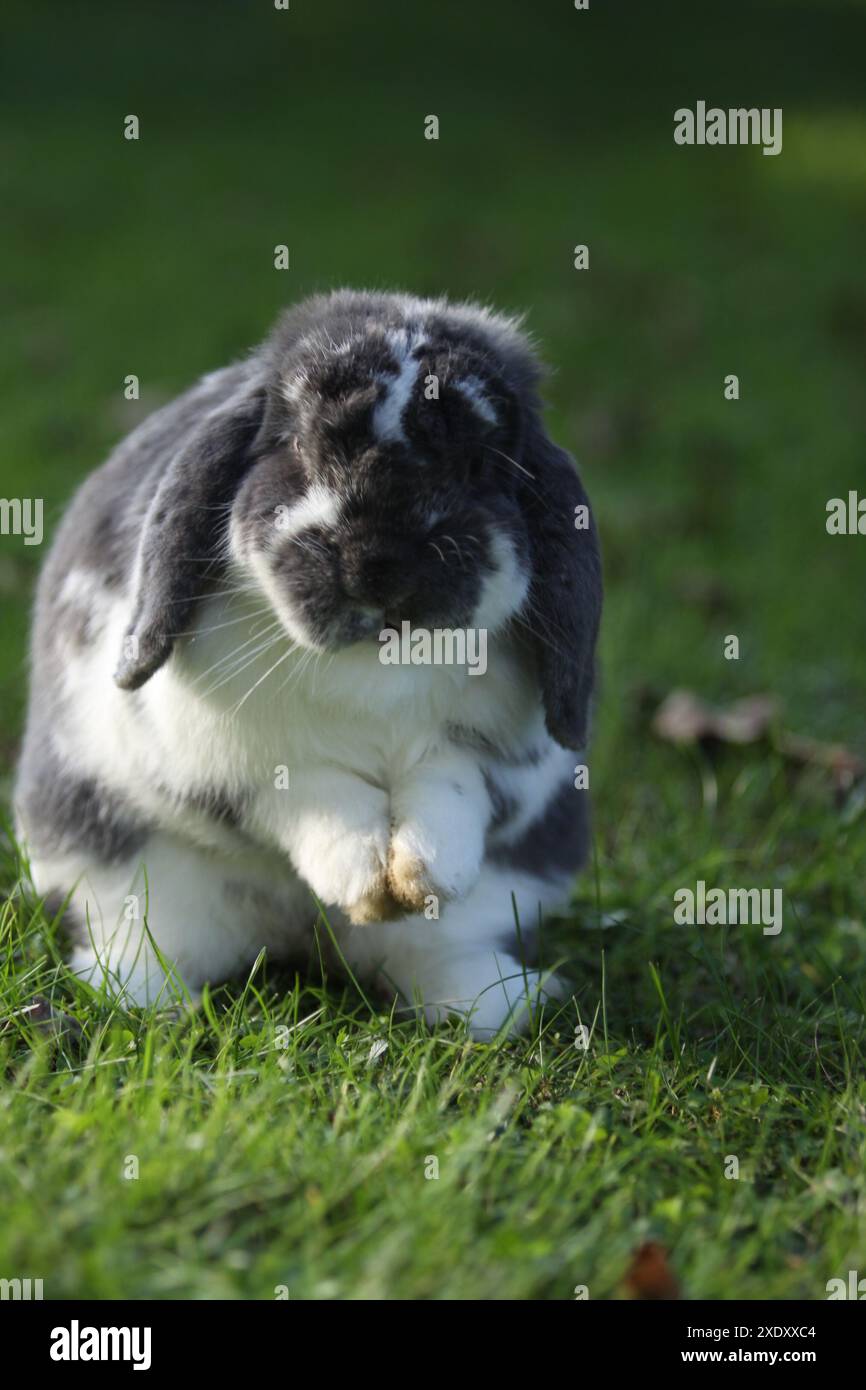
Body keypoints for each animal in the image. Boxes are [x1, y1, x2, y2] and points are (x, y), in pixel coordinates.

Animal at [15, 289, 602, 1036]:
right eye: (297, 445)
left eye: (477, 468)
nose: (378, 565)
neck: (372, 672)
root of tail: (301, 937)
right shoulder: (225, 759)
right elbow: (309, 795)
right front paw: (364, 878)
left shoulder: (503, 759)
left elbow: (453, 787)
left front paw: (419, 876)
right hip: (128, 878)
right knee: (149, 937)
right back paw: (140, 999)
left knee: (428, 956)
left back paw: (501, 1002)